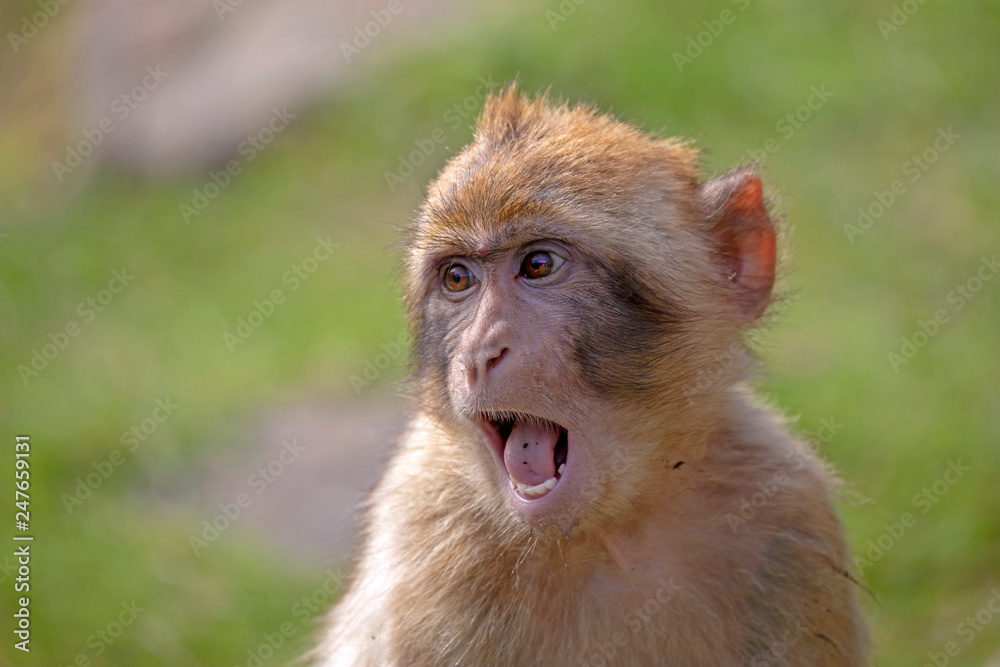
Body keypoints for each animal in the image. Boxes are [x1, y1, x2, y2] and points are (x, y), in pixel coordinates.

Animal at [314, 85, 868, 666]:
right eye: (458, 278)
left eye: (538, 265)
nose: (479, 352)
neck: (611, 530)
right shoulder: (423, 536)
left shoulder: (788, 516)